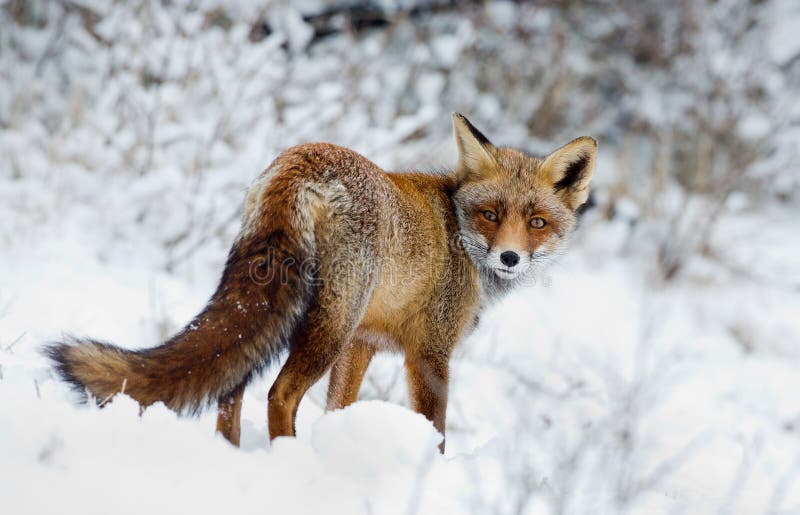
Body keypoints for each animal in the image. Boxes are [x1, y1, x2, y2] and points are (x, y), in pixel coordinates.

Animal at [46, 113, 596, 452]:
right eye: (490, 214)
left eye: (537, 223)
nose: (509, 257)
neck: (455, 231)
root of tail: (302, 160)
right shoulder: (429, 353)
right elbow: (435, 433)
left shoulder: (362, 344)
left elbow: (336, 410)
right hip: (328, 324)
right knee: (278, 394)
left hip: (286, 314)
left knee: (230, 387)